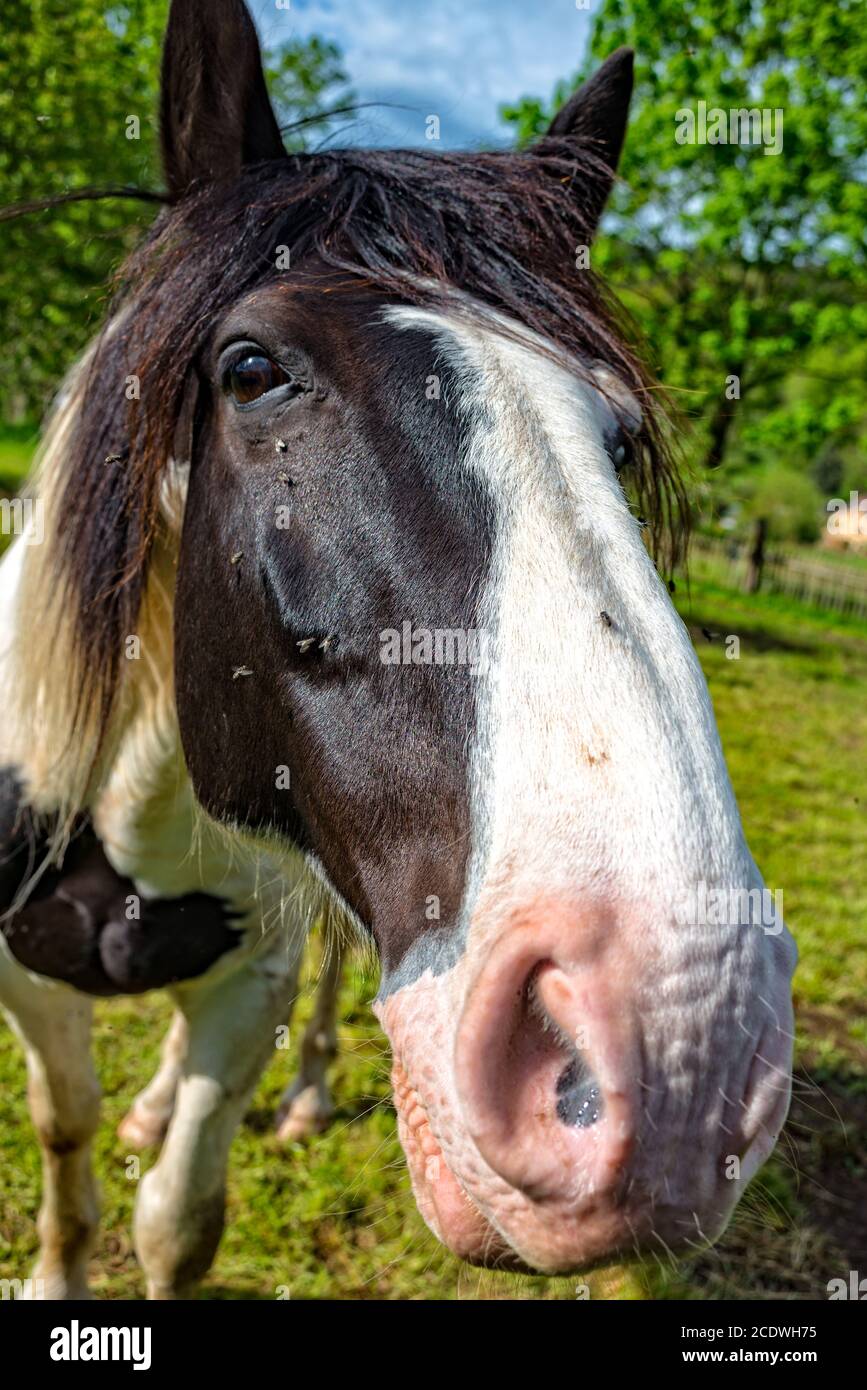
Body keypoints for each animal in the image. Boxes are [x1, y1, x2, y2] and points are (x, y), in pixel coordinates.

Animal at [0, 0, 796, 1298]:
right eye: (253, 370)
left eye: (620, 437)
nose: (685, 1055)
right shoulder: (25, 974)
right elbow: (63, 1130)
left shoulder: (256, 979)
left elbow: (180, 1215)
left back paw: (308, 1091)